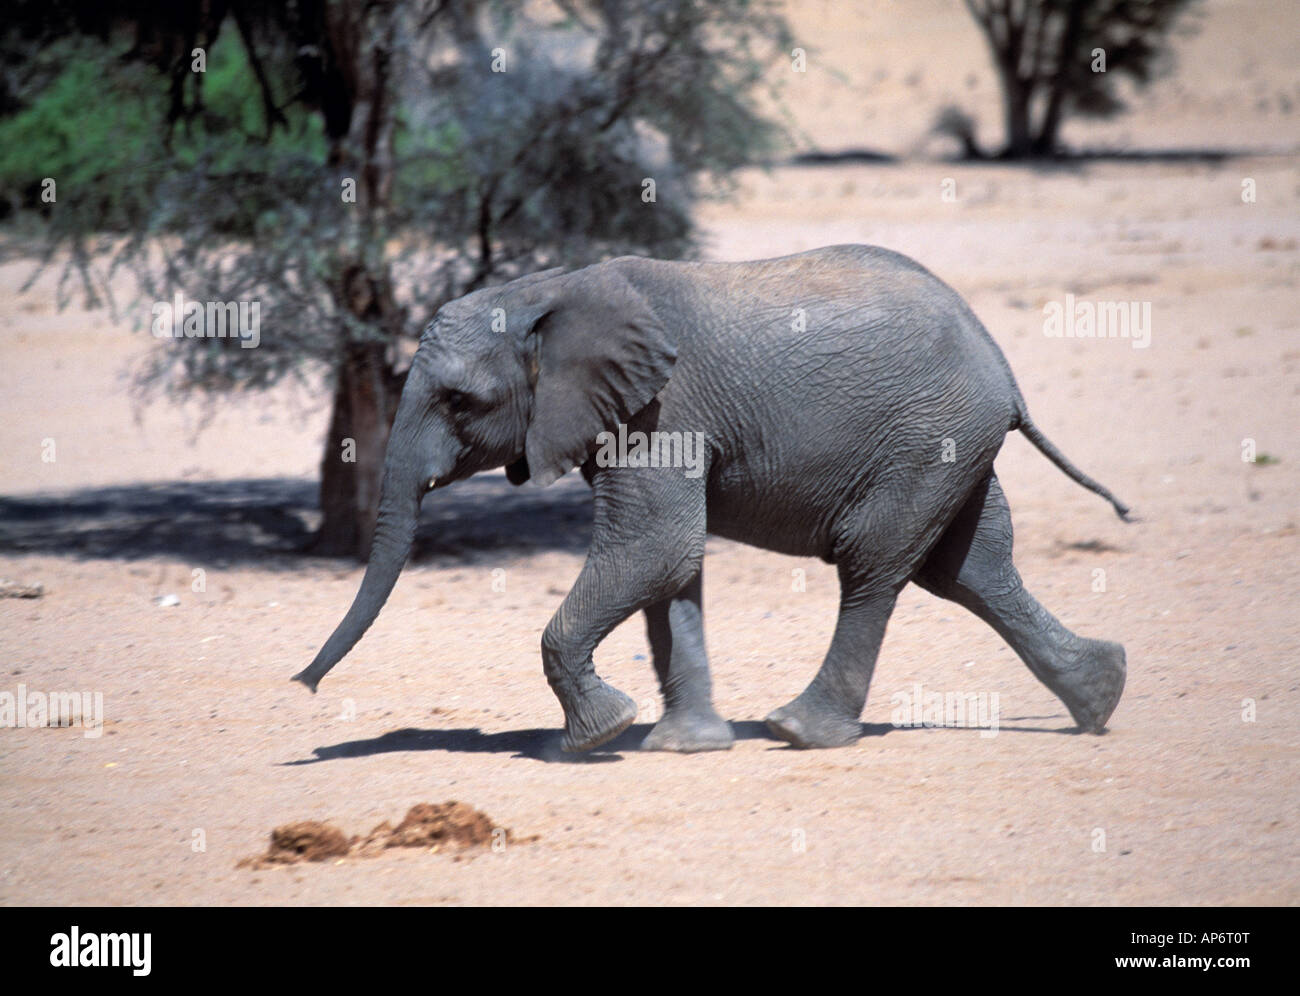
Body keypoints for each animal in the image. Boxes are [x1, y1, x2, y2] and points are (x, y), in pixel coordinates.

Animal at [293, 244, 1131, 753]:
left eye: (461, 401)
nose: (301, 687)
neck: (552, 288)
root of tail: (1004, 366)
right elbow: (673, 570)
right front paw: (686, 745)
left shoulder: (661, 413)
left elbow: (656, 547)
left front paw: (598, 737)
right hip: (953, 445)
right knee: (969, 569)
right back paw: (1101, 698)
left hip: (929, 438)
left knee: (874, 563)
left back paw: (798, 731)